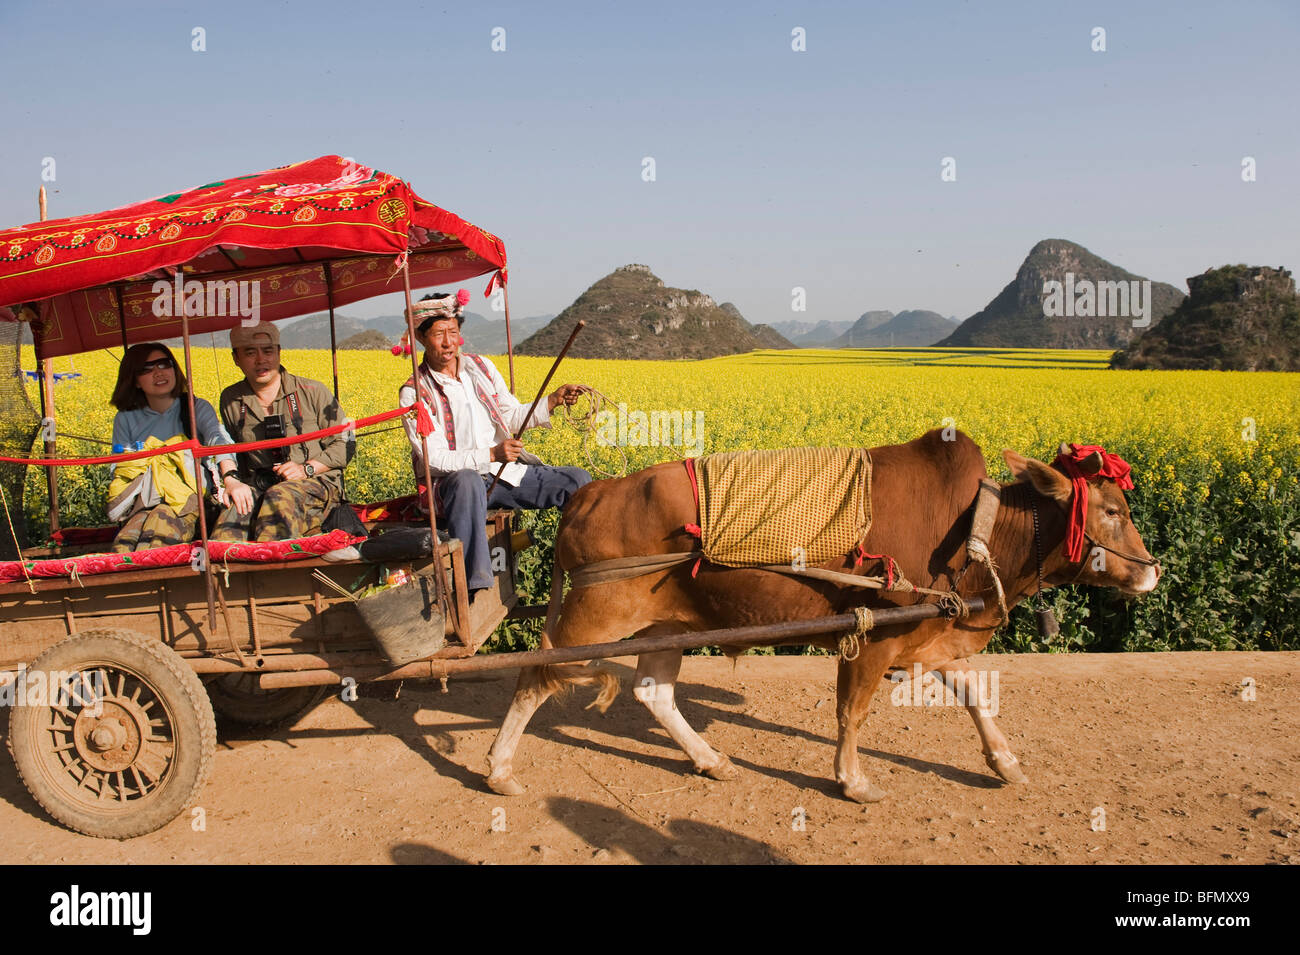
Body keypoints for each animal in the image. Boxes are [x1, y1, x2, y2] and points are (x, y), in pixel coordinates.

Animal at [485, 429, 1160, 803]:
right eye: (1112, 510)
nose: (1153, 570)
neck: (975, 530)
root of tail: (586, 495)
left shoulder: (931, 631)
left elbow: (973, 695)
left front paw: (1005, 762)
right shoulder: (875, 636)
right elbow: (851, 712)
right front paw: (851, 780)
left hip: (666, 624)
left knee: (652, 692)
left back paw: (711, 760)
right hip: (592, 618)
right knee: (536, 677)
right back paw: (499, 770)